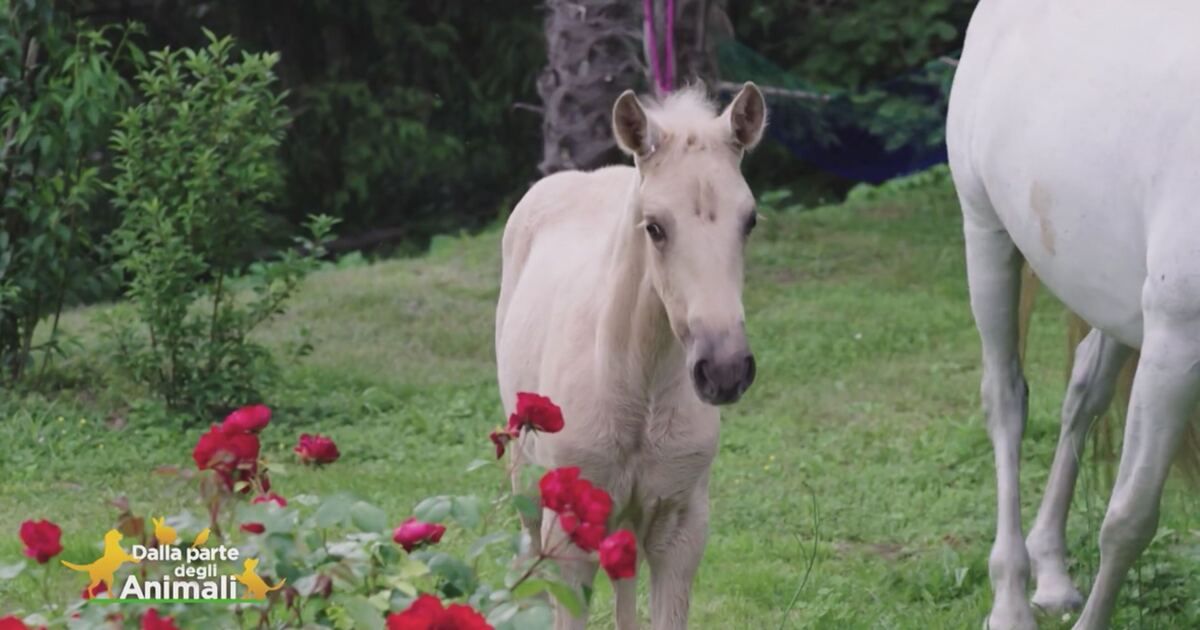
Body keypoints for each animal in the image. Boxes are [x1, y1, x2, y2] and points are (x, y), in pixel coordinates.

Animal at [495, 83, 766, 629]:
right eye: (654, 227)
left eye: (749, 221)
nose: (724, 370)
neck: (635, 390)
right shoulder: (566, 538)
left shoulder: (680, 528)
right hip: (525, 478)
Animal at [947, 1, 1200, 628]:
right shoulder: (1177, 347)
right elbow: (1130, 517)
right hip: (985, 233)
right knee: (1007, 400)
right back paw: (1011, 599)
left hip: (1114, 299)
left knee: (1083, 391)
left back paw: (1053, 571)